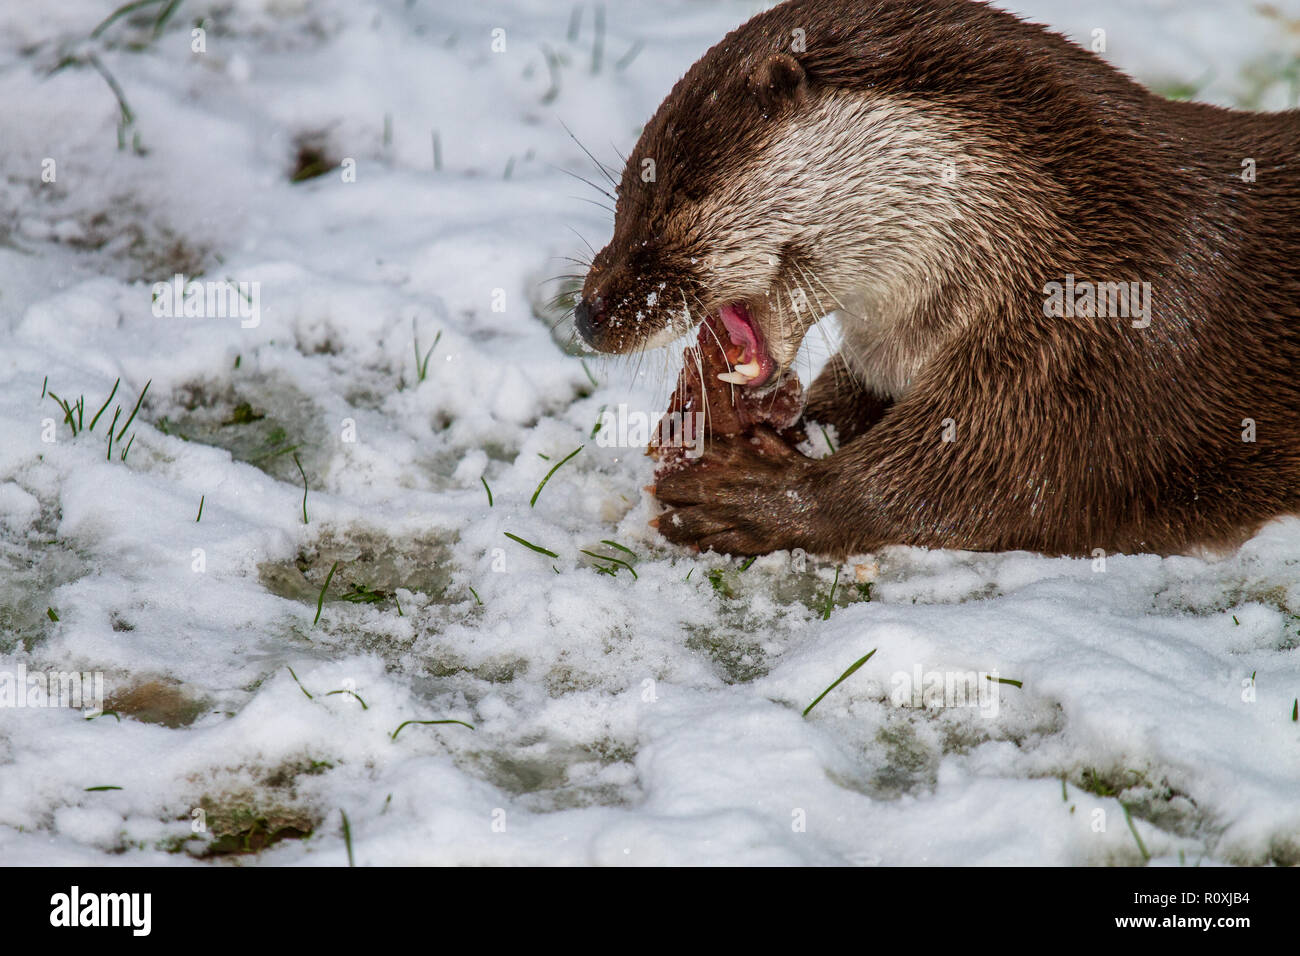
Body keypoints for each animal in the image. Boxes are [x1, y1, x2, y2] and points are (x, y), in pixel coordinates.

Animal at [573, 0, 1300, 559]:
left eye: (677, 199)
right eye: (623, 195)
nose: (588, 314)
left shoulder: (1098, 353)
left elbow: (983, 483)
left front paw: (750, 497)